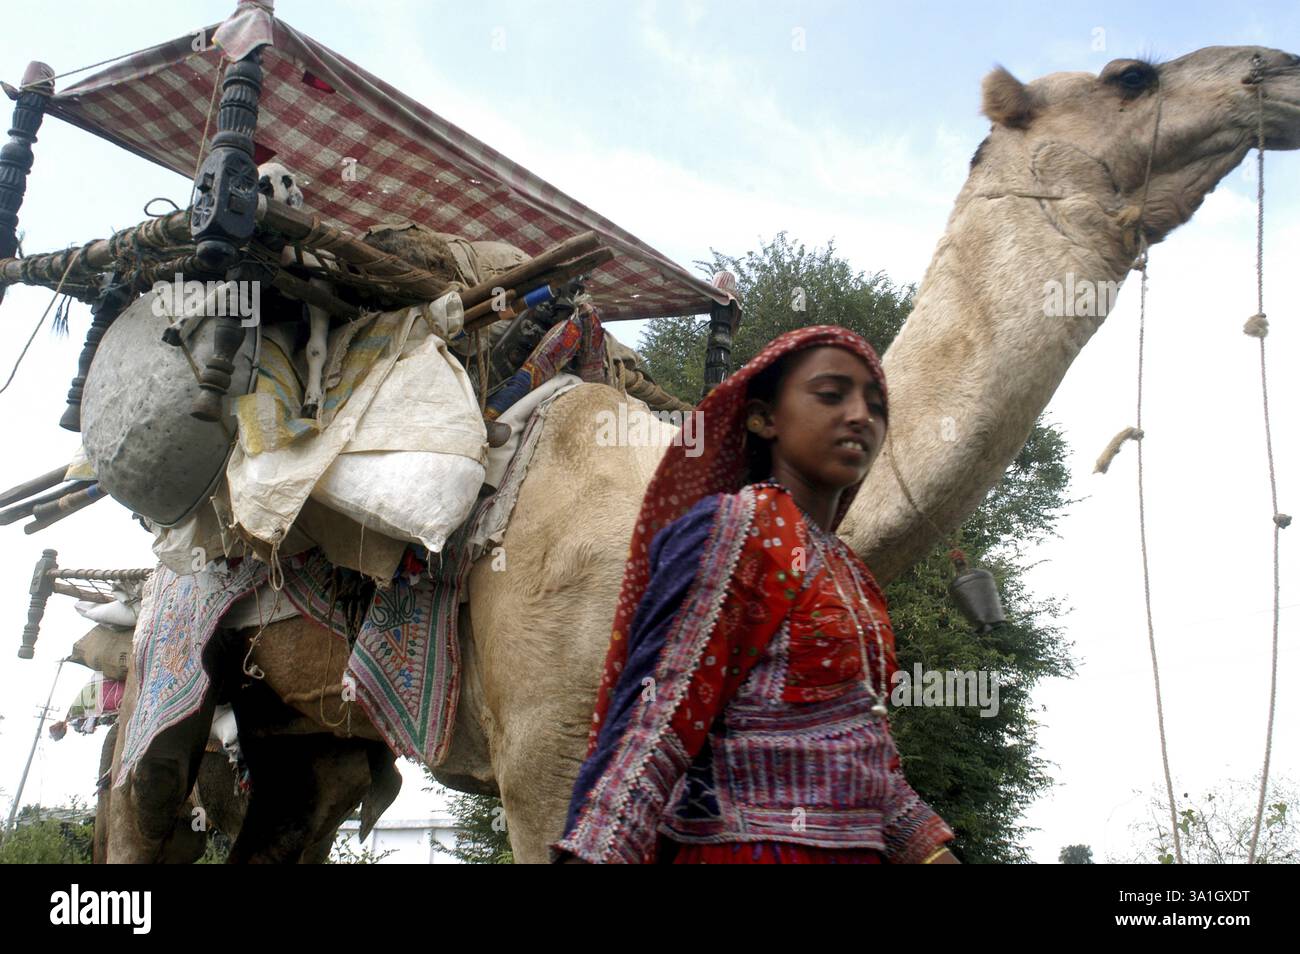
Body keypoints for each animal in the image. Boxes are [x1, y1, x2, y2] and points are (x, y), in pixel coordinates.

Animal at [108, 46, 1300, 863]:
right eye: (1130, 74)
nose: (1276, 70)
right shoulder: (547, 761)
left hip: (311, 736)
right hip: (165, 662)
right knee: (144, 793)